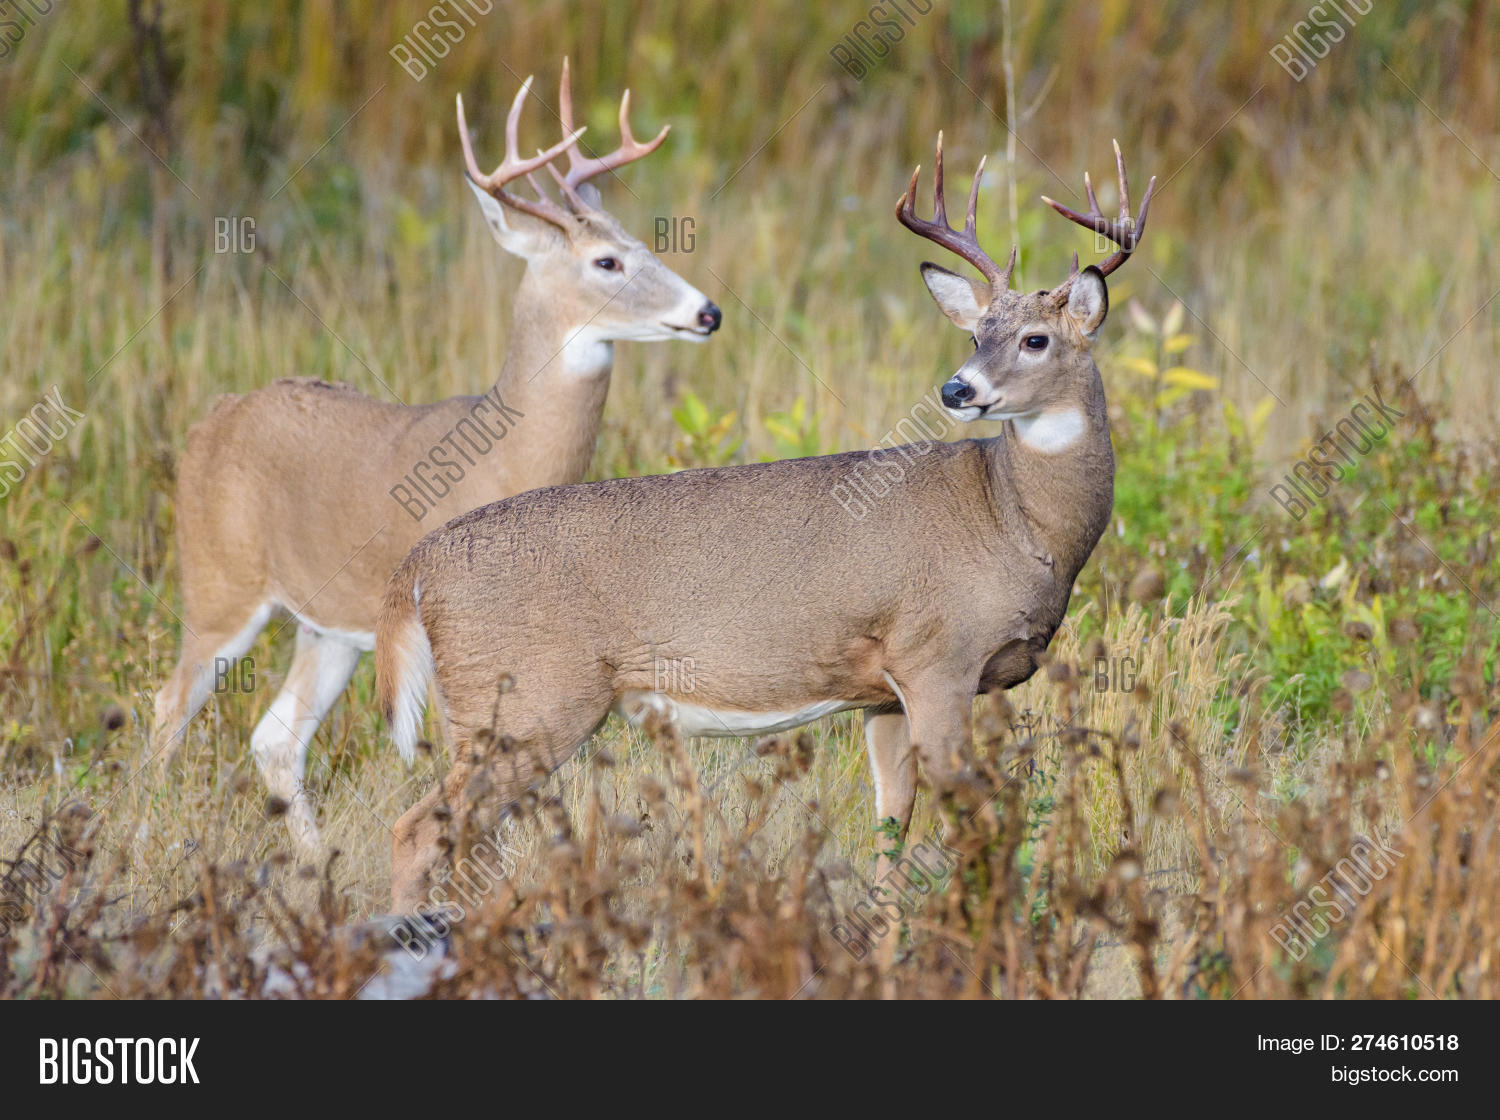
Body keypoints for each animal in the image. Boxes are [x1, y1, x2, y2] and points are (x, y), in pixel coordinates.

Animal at [151, 62, 721, 854]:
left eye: (645, 242)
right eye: (606, 260)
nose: (707, 311)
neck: (510, 457)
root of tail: (212, 419)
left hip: (328, 624)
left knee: (273, 736)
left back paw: (315, 862)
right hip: (219, 583)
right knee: (167, 705)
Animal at [376, 131, 1154, 915]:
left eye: (1034, 340)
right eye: (977, 334)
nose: (957, 389)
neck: (1012, 518)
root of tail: (417, 569)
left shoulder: (885, 691)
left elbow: (891, 831)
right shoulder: (939, 657)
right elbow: (972, 827)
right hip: (527, 698)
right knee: (419, 830)